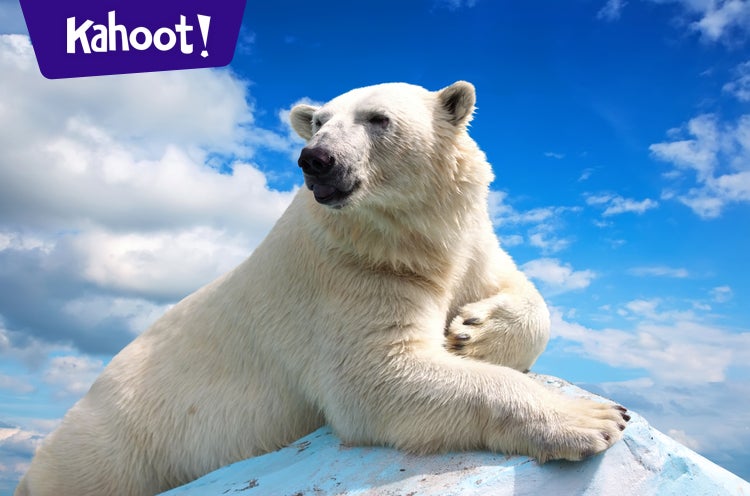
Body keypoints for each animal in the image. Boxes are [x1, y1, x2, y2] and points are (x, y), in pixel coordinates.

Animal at [16, 81, 629, 496]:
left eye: (378, 118)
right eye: (318, 123)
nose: (317, 160)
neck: (403, 240)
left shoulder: (467, 244)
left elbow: (516, 289)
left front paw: (472, 333)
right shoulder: (349, 274)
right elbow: (379, 378)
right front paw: (593, 418)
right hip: (114, 452)